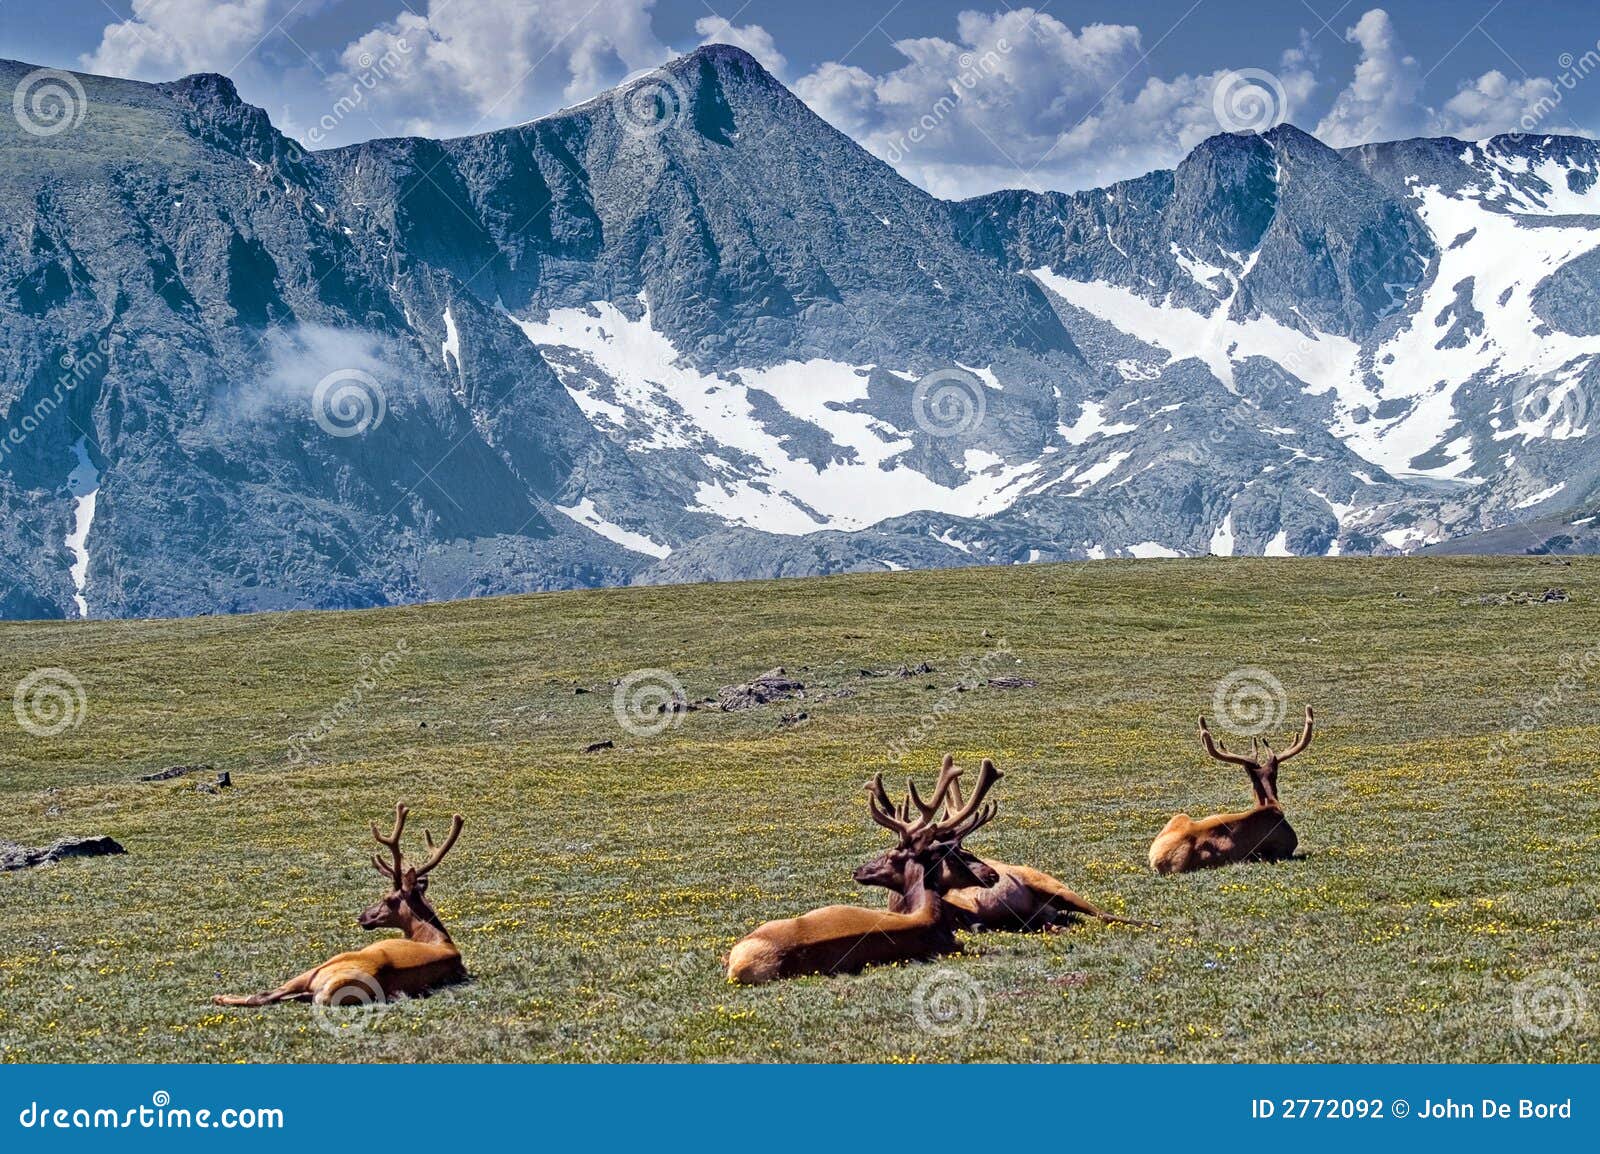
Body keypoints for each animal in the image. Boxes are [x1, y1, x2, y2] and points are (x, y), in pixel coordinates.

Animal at [213, 804, 468, 1007]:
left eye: (387, 898)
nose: (363, 917)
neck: (433, 937)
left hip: (320, 968)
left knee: (265, 995)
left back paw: (220, 997)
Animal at [860, 755, 1149, 930]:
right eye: (953, 854)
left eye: (892, 855)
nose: (859, 870)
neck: (904, 906)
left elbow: (976, 925)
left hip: (1058, 888)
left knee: (1103, 914)